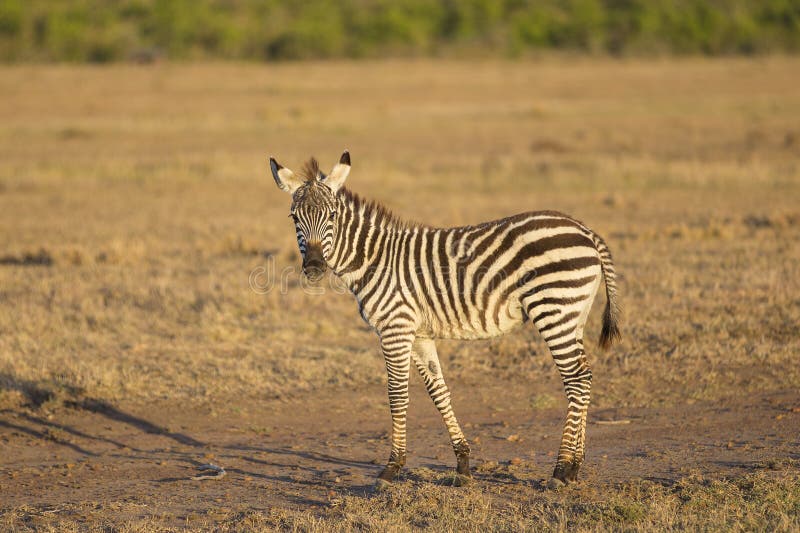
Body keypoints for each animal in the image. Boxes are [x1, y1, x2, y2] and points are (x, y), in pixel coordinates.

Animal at [269, 150, 621, 490]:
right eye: (294, 218)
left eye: (332, 216)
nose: (314, 267)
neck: (374, 260)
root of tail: (585, 230)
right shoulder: (420, 334)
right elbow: (438, 391)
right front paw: (463, 464)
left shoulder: (395, 328)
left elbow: (397, 394)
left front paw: (392, 468)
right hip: (572, 313)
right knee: (585, 376)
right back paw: (575, 467)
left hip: (553, 308)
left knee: (575, 379)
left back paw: (561, 469)